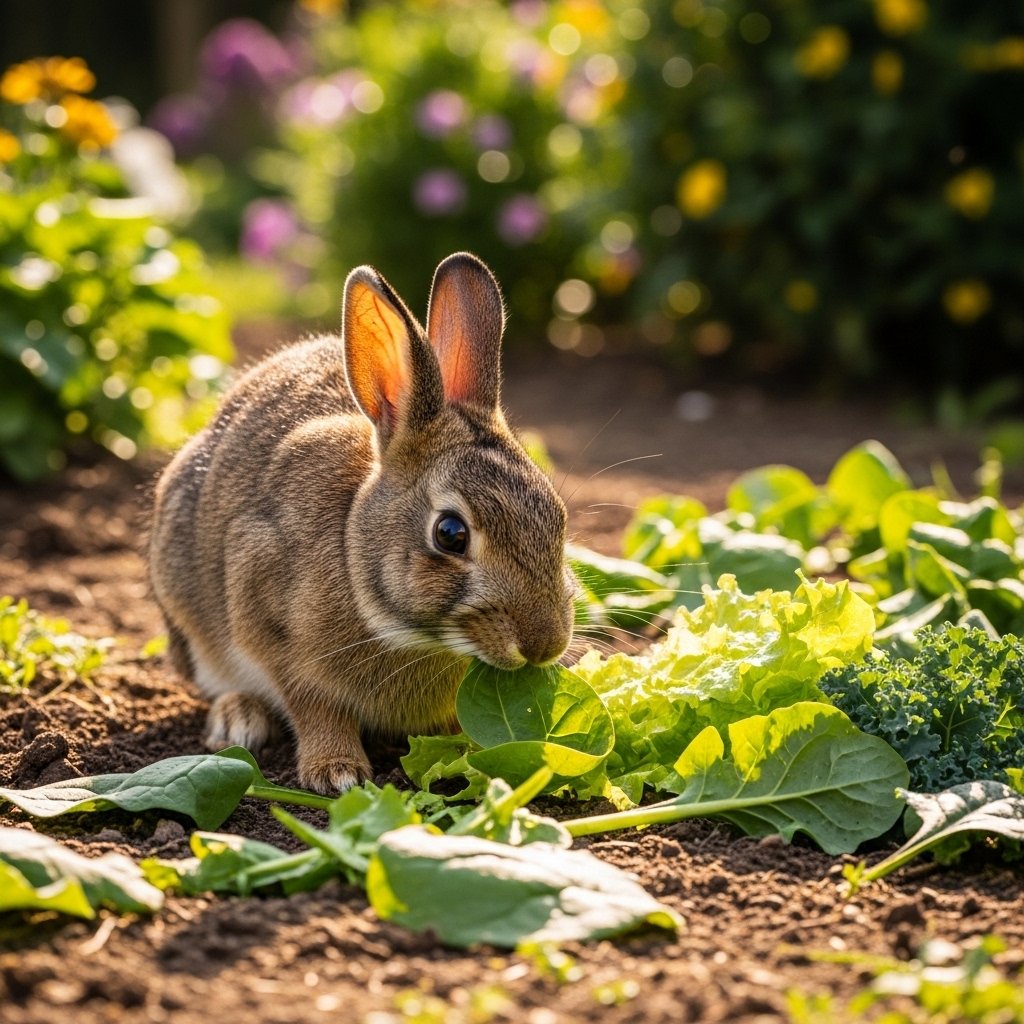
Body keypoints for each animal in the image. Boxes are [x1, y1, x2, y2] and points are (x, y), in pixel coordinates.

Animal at [149, 252, 577, 794]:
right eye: (451, 534)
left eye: (558, 515)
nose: (546, 645)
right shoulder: (268, 618)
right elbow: (313, 707)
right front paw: (337, 773)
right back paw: (238, 719)